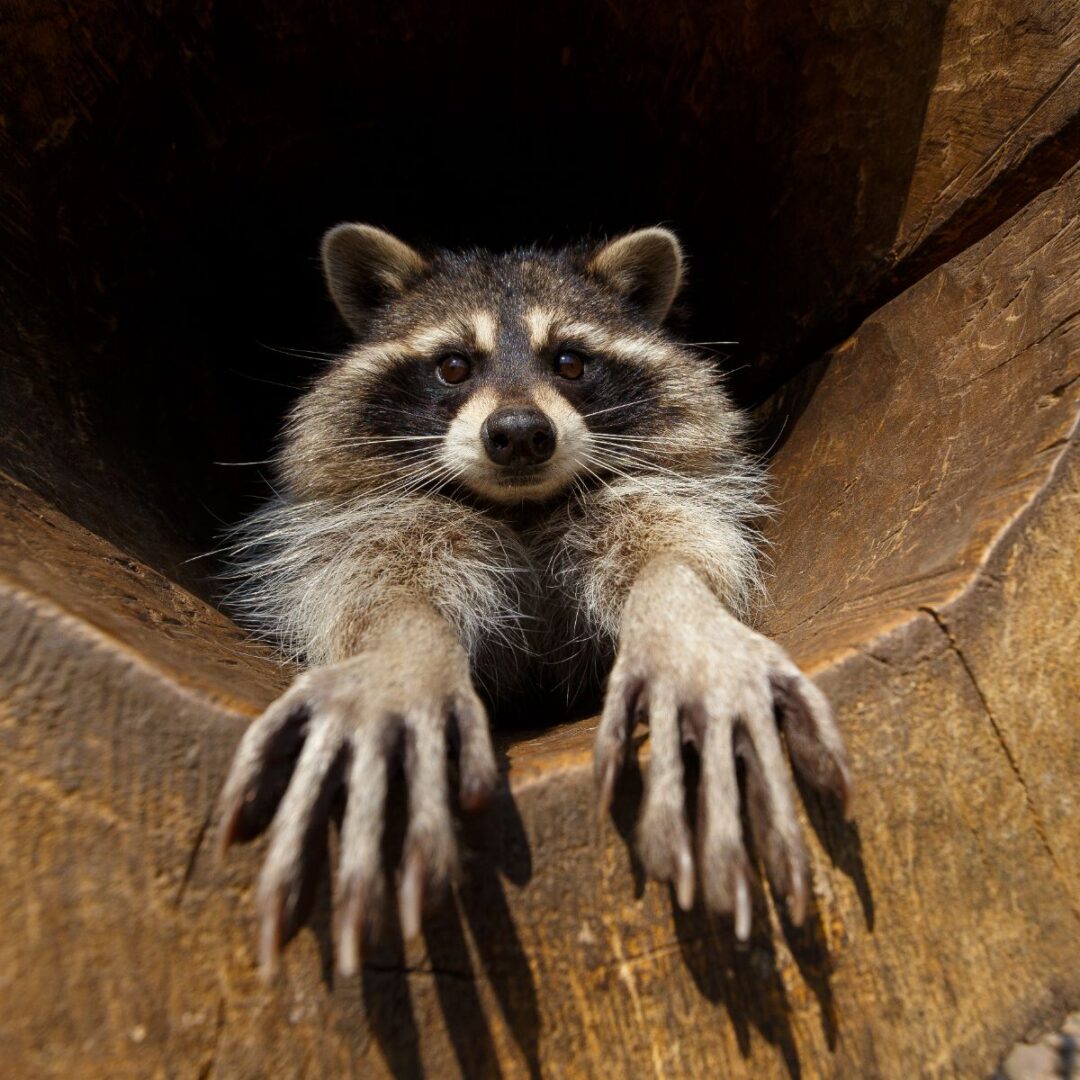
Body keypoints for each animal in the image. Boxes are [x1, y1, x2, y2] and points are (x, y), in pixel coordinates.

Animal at [216, 223, 852, 977]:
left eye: (570, 362)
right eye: (453, 366)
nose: (519, 432)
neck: (519, 508)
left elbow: (673, 550)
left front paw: (683, 623)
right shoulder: (358, 526)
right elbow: (374, 583)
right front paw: (401, 655)